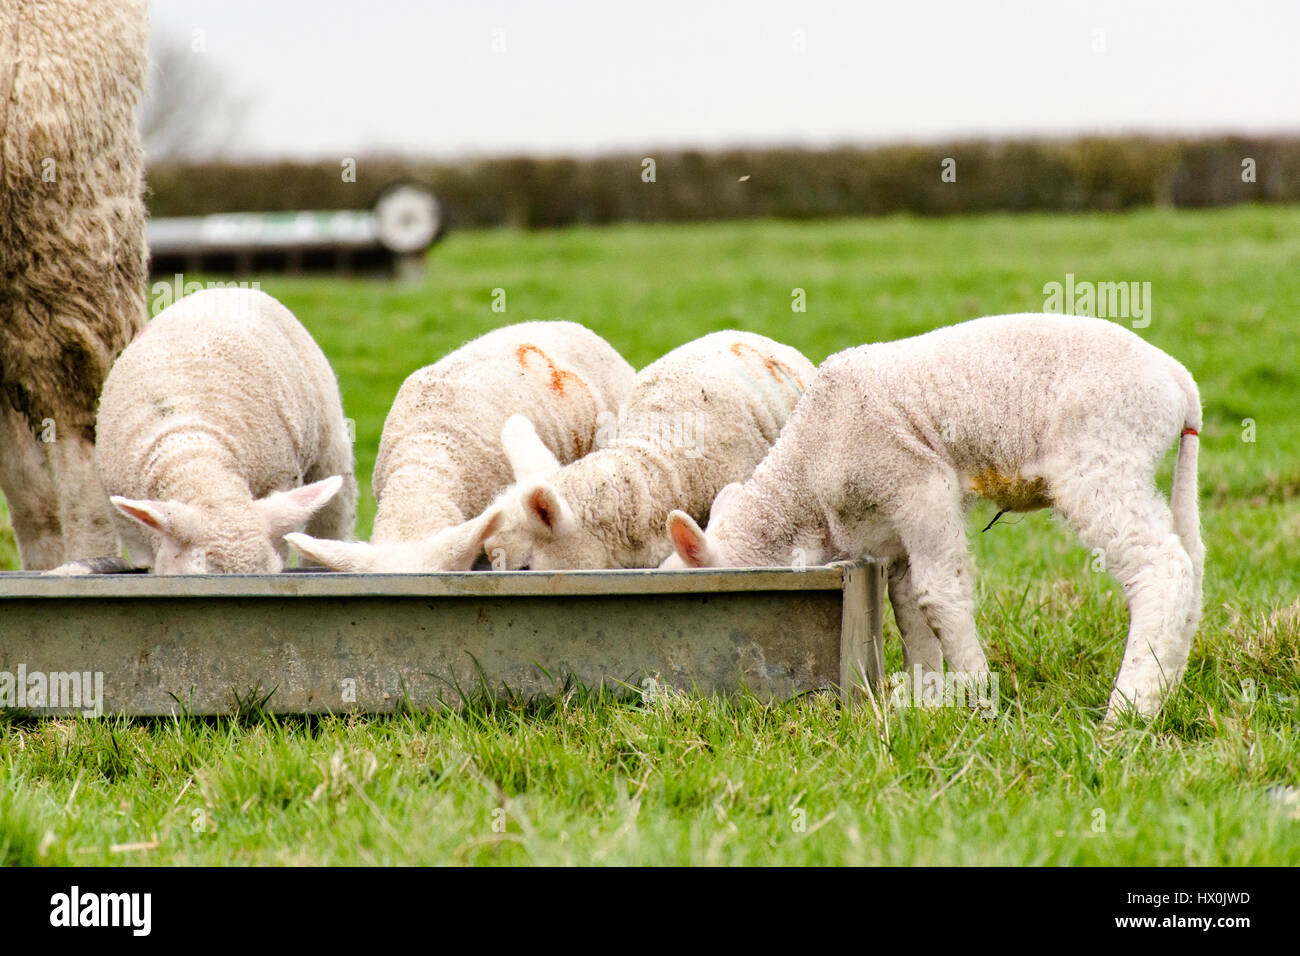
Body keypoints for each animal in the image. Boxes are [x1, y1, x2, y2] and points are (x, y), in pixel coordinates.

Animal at [664, 313, 1203, 722]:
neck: (806, 487)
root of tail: (1180, 380)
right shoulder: (894, 533)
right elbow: (908, 608)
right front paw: (926, 704)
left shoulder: (919, 486)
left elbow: (938, 595)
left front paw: (981, 702)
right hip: (1137, 464)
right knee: (1192, 564)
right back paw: (1165, 686)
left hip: (1101, 456)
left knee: (1162, 568)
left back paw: (1127, 711)